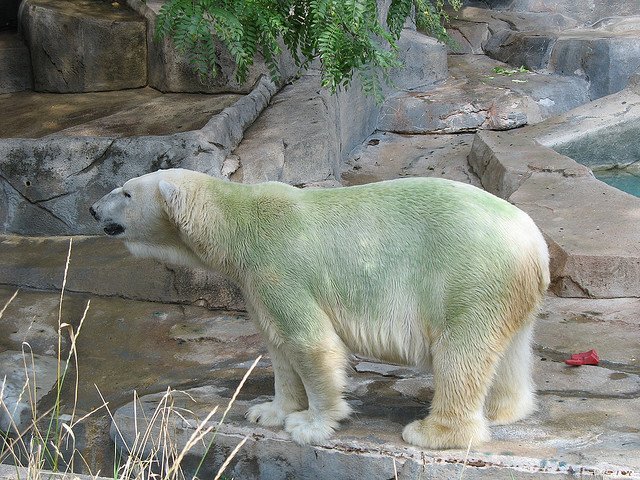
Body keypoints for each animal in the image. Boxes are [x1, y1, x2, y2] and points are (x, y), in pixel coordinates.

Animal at [90, 168, 550, 449]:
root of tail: (536, 245)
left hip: (467, 275)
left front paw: (311, 424)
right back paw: (504, 410)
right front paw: (268, 412)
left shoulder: (279, 265)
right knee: (510, 349)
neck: (237, 222)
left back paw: (432, 431)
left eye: (126, 191)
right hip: (503, 289)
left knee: (460, 352)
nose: (93, 208)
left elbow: (310, 342)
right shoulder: (256, 282)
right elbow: (278, 345)